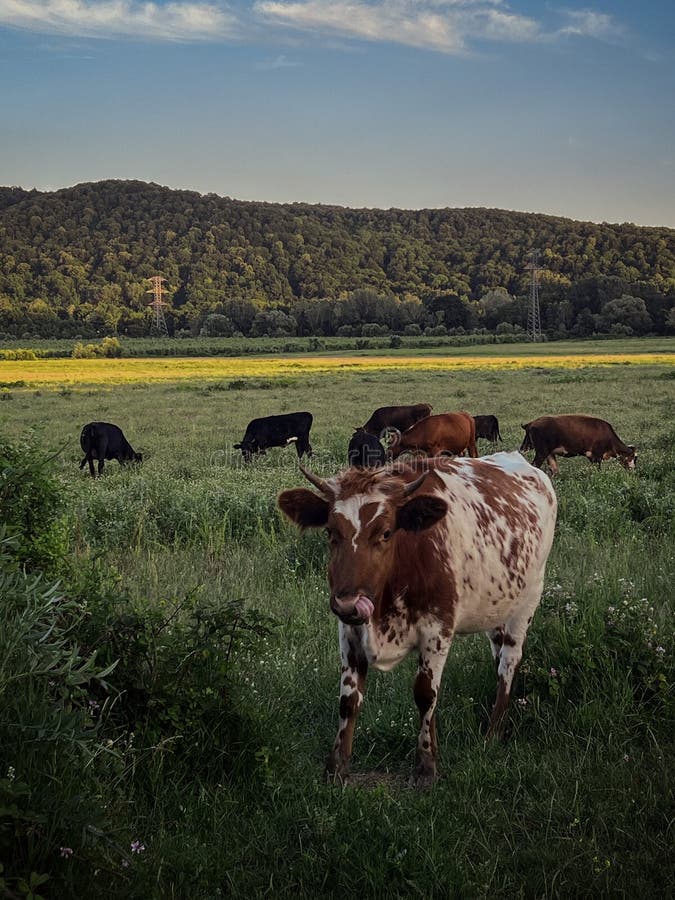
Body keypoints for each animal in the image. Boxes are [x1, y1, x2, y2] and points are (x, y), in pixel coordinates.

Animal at [278, 452, 557, 787]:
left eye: (385, 532)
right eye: (330, 532)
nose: (348, 602)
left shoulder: (437, 629)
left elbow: (425, 694)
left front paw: (426, 766)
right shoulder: (349, 630)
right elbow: (348, 698)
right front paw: (336, 768)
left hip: (526, 602)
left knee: (509, 662)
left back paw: (493, 733)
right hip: (497, 608)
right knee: (499, 653)